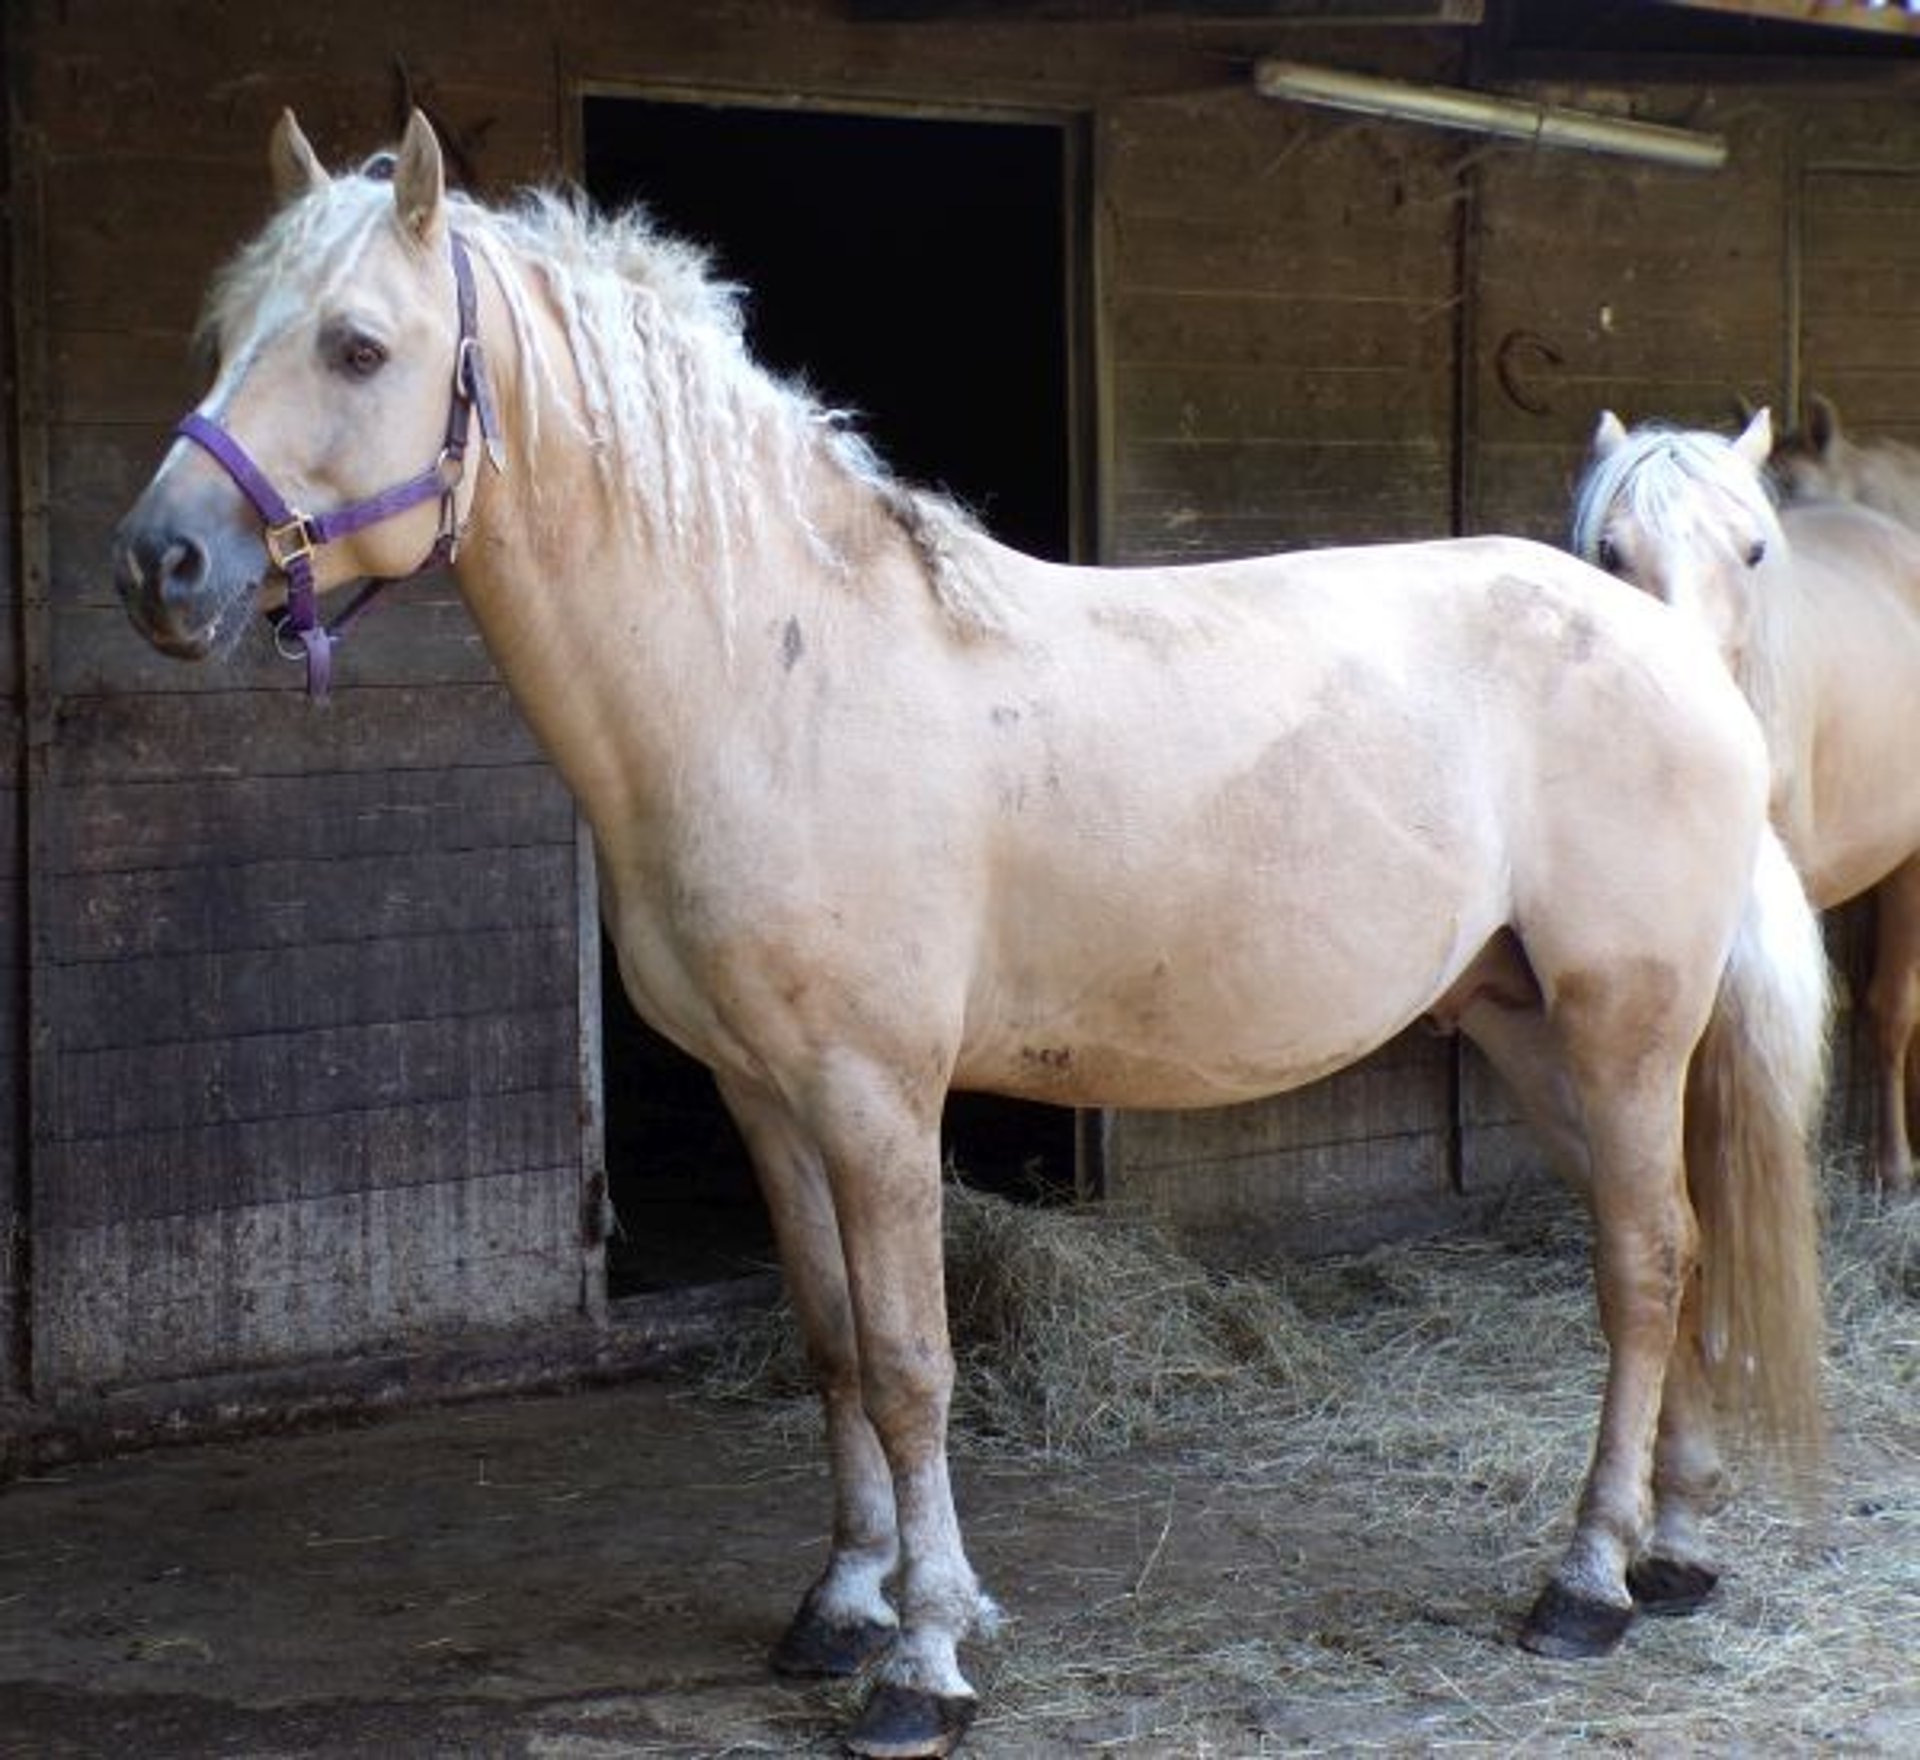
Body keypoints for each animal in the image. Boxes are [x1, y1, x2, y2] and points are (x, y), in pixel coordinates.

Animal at [112, 112, 1829, 1757]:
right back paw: (1676, 1547)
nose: (159, 565)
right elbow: (827, 1345)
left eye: (355, 347)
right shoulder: (764, 1097)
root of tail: (1671, 645)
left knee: (1641, 1262)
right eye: (225, 329)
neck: (773, 677)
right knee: (1673, 1246)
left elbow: (911, 1362)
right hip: (1525, 1022)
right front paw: (843, 1603)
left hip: (1623, 1023)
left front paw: (924, 1663)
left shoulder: (875, 1095)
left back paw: (1589, 1582)